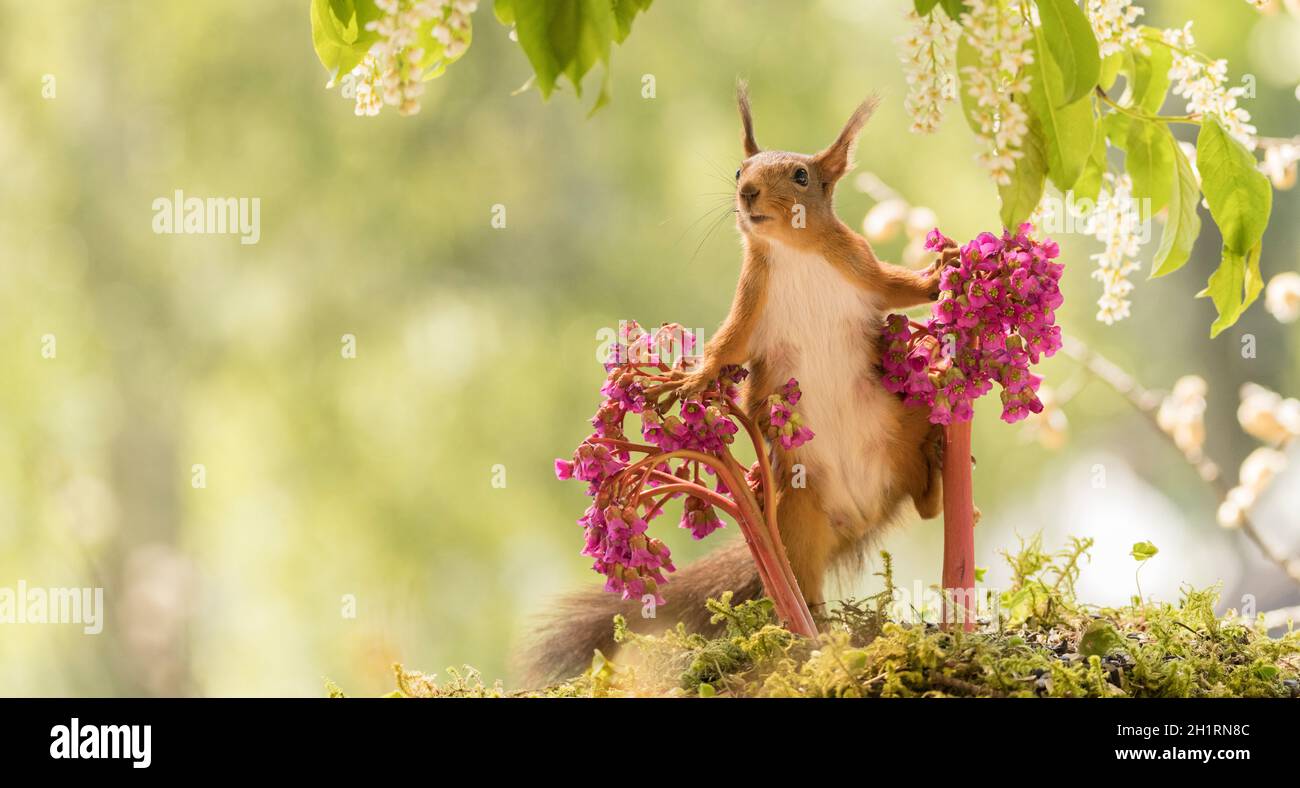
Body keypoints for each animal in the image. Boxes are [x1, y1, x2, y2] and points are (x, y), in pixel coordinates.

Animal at [520, 85, 955, 688]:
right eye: (737, 169)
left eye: (801, 175)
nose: (747, 193)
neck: (795, 254)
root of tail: (861, 514)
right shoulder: (751, 303)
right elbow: (726, 346)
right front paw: (693, 377)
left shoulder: (862, 269)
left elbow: (899, 288)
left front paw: (941, 271)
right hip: (795, 516)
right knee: (803, 581)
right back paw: (813, 638)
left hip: (904, 418)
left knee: (926, 503)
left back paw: (939, 457)